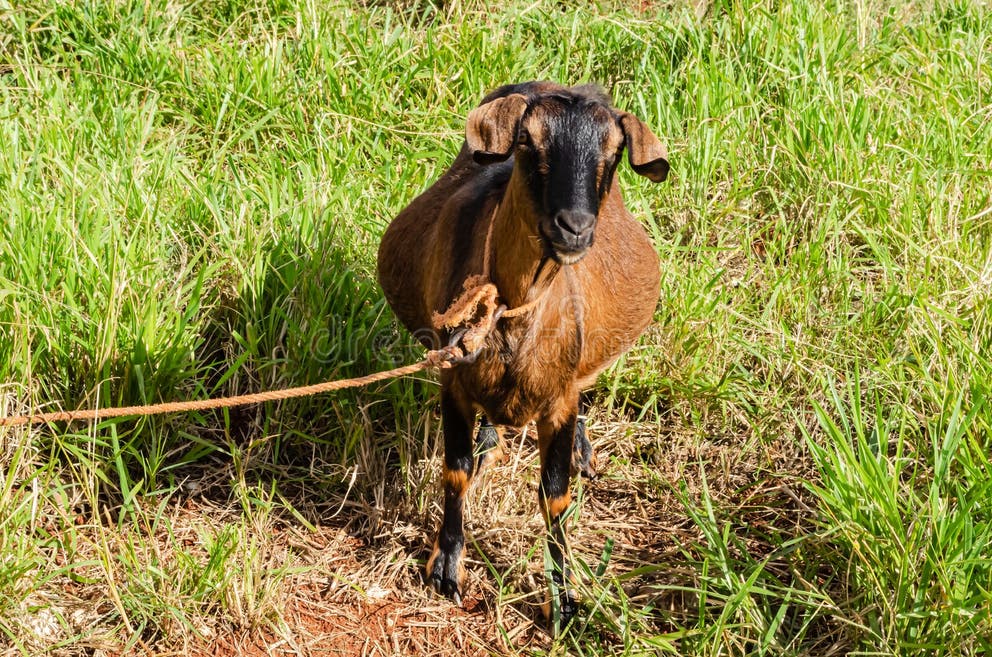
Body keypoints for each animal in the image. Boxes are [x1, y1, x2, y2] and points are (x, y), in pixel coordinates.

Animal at [377, 81, 669, 627]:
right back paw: (491, 439)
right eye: (528, 143)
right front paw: (446, 567)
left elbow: (556, 495)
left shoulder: (558, 398)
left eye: (614, 152)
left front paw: (564, 598)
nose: (573, 226)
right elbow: (456, 469)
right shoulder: (453, 379)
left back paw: (580, 449)